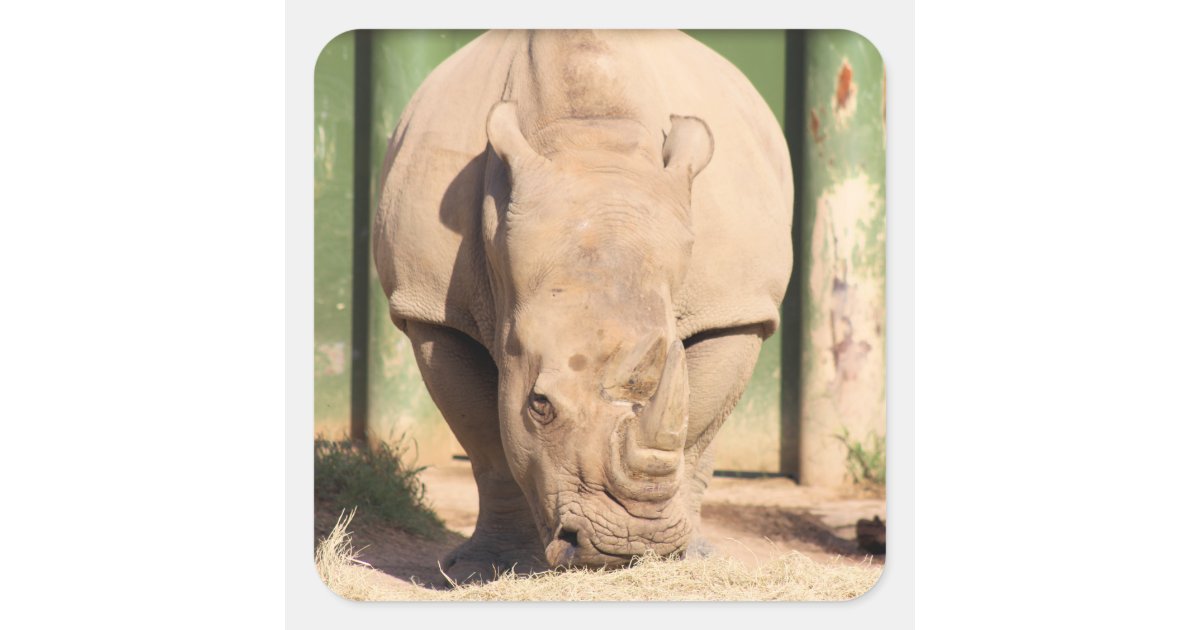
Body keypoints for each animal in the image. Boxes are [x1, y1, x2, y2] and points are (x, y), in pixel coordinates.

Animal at [373, 29, 792, 581]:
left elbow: (697, 431)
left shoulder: (735, 307)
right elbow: (486, 445)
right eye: (539, 405)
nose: (630, 546)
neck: (590, 139)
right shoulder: (432, 310)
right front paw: (487, 569)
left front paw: (679, 558)